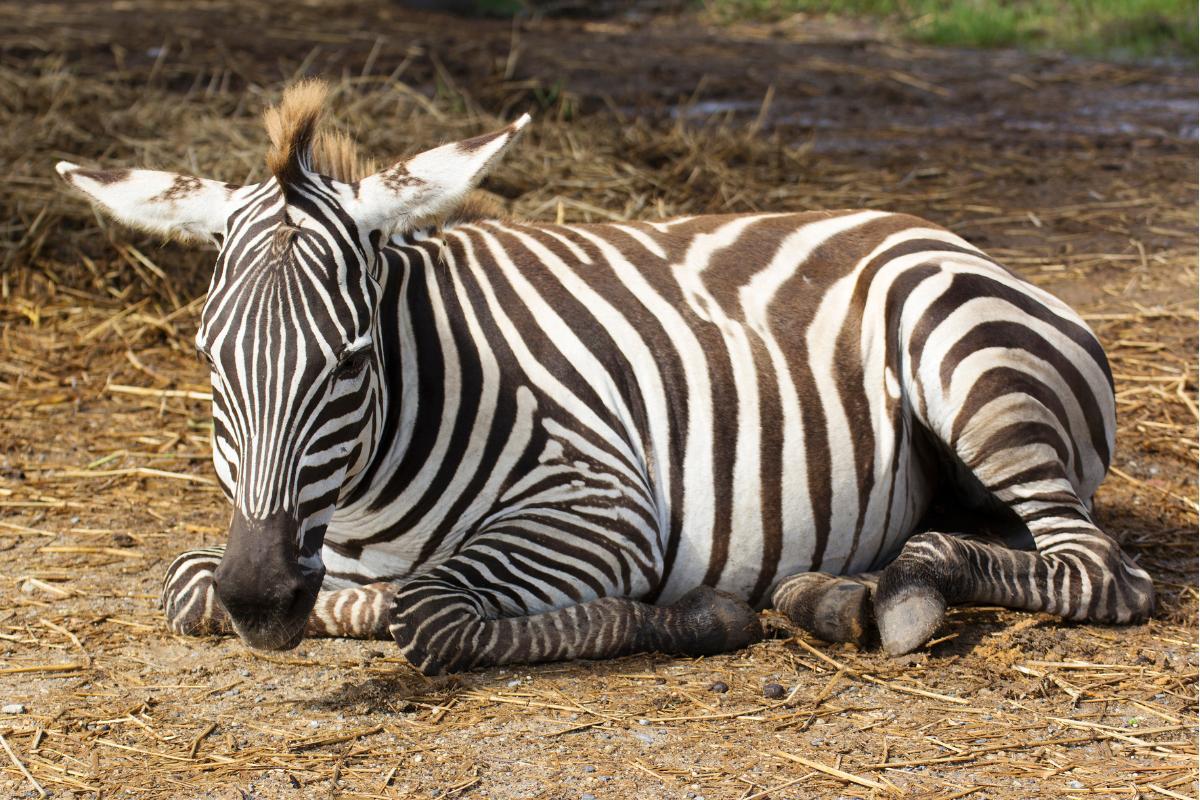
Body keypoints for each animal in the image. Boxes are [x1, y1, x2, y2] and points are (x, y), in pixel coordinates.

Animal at [57, 80, 1154, 675]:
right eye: (210, 362)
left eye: (354, 359)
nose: (264, 598)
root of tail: (944, 233)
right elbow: (186, 585)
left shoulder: (605, 506)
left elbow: (431, 610)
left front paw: (697, 616)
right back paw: (836, 591)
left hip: (971, 367)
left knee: (1099, 572)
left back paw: (903, 588)